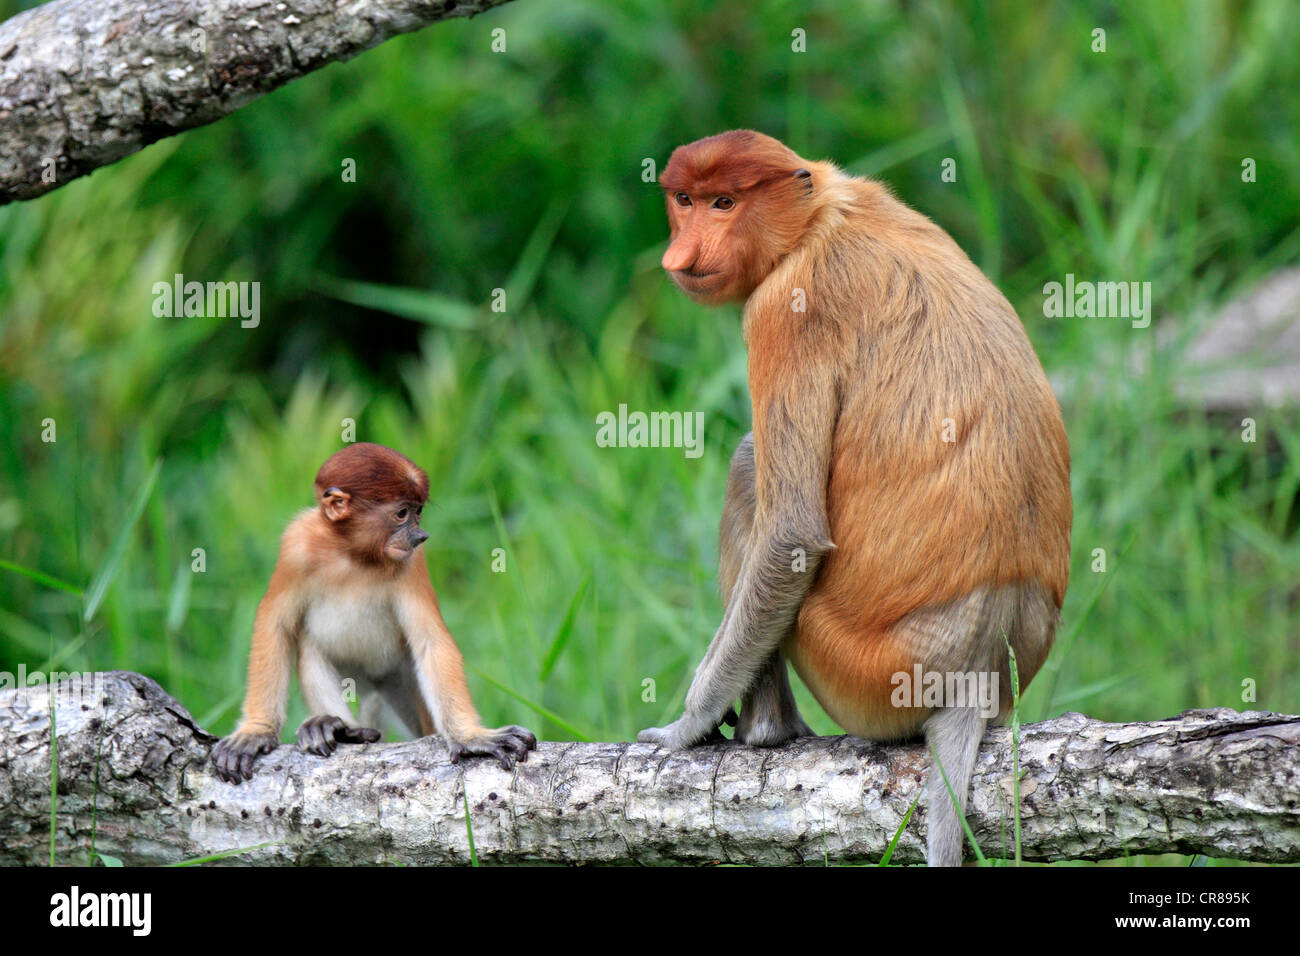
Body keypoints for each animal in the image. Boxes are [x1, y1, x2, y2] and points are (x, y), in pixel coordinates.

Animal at [211, 442, 537, 783]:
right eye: (402, 513)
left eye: (418, 512)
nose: (421, 536)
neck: (353, 554)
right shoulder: (295, 545)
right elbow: (274, 623)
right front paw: (255, 732)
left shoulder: (412, 562)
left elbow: (431, 641)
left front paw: (472, 738)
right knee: (310, 644)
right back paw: (338, 729)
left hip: (399, 679)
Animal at [638, 130, 1071, 866]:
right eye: (685, 200)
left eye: (725, 203)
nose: (681, 253)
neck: (819, 221)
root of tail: (975, 668)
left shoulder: (786, 309)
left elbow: (789, 532)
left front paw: (684, 727)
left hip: (854, 666)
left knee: (749, 468)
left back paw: (767, 731)